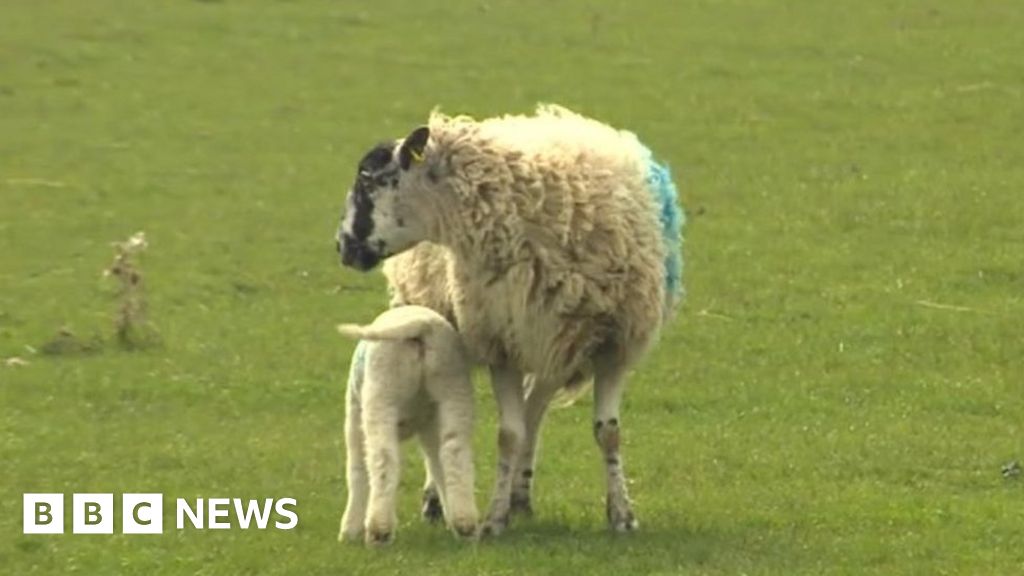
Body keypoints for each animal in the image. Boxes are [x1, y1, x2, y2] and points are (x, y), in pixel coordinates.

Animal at [336, 305, 478, 544]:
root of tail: (421, 326)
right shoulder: (430, 427)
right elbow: (436, 466)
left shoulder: (354, 417)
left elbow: (356, 470)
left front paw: (349, 530)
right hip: (453, 386)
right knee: (454, 453)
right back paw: (465, 524)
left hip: (382, 391)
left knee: (383, 458)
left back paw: (379, 530)